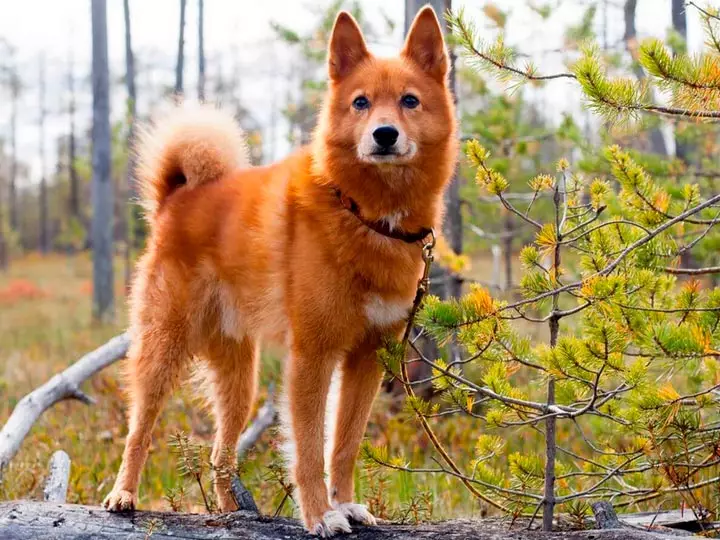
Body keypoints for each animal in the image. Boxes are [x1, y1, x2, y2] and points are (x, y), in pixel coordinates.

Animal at [105, 7, 456, 536]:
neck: (366, 213)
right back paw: (123, 494)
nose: (384, 134)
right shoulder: (312, 355)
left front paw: (345, 503)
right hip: (162, 348)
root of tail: (178, 197)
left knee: (221, 453)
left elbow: (344, 445)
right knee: (138, 430)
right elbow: (309, 449)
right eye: (360, 103)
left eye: (409, 101)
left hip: (239, 379)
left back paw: (231, 510)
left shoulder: (367, 357)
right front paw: (319, 514)